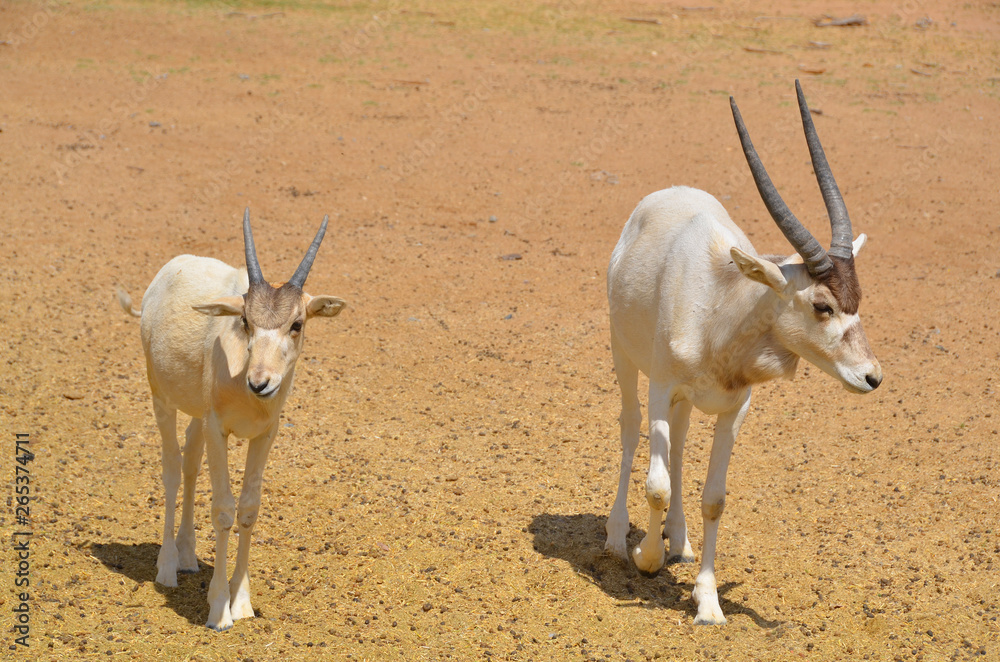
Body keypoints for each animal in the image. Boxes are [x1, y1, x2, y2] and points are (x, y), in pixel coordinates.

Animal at [118, 210, 345, 631]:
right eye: (245, 320)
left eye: (297, 324)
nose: (261, 382)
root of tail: (170, 269)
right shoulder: (218, 429)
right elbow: (224, 511)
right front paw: (219, 609)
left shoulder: (264, 434)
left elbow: (249, 509)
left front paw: (242, 602)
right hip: (162, 399)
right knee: (172, 469)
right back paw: (168, 567)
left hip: (197, 415)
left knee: (190, 464)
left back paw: (188, 555)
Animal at [604, 81, 882, 625]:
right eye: (821, 305)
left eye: (857, 303)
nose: (871, 376)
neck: (718, 308)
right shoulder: (661, 386)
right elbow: (656, 483)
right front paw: (647, 557)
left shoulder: (736, 408)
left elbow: (715, 499)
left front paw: (707, 601)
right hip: (625, 356)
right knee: (630, 429)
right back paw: (616, 535)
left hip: (687, 401)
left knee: (680, 445)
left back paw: (680, 540)